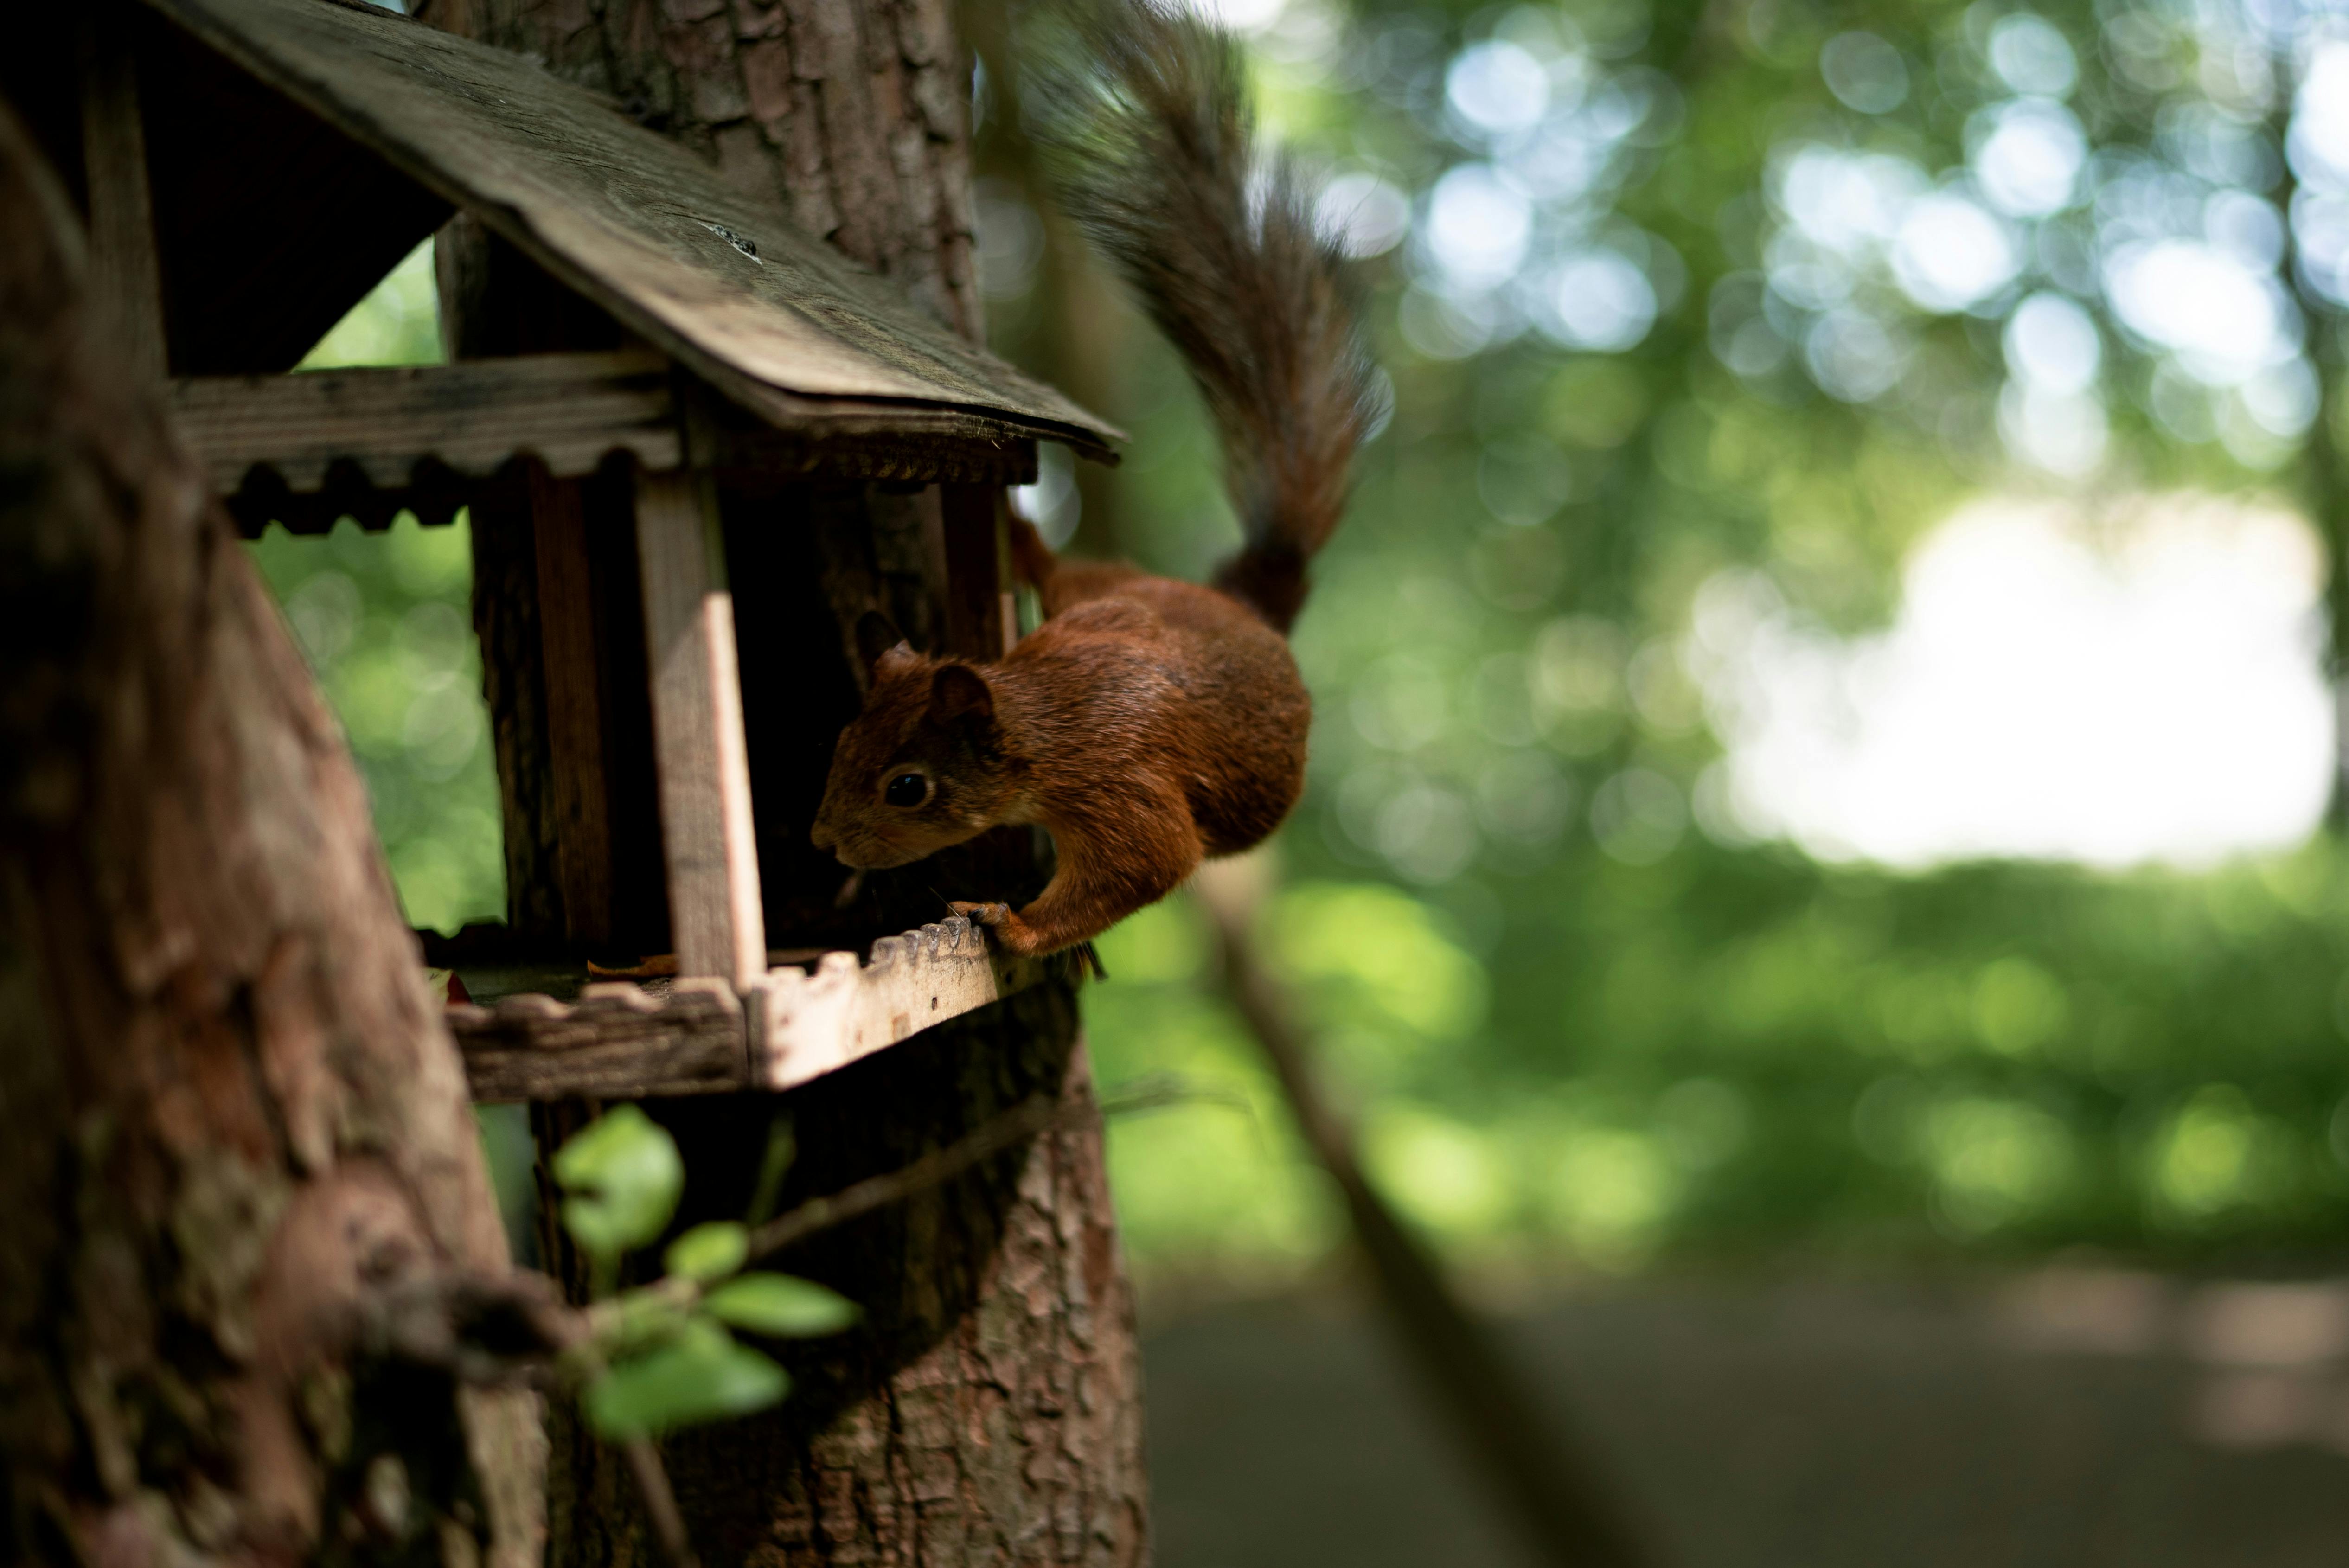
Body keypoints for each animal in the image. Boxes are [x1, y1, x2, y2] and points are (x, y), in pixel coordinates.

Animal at [808, 0, 1377, 958]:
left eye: (907, 788)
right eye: (844, 737)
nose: (825, 843)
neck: (1040, 723)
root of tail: (1248, 605)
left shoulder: (1119, 789)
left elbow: (1148, 861)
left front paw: (1012, 924)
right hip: (1103, 589)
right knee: (1066, 572)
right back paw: (1022, 534)